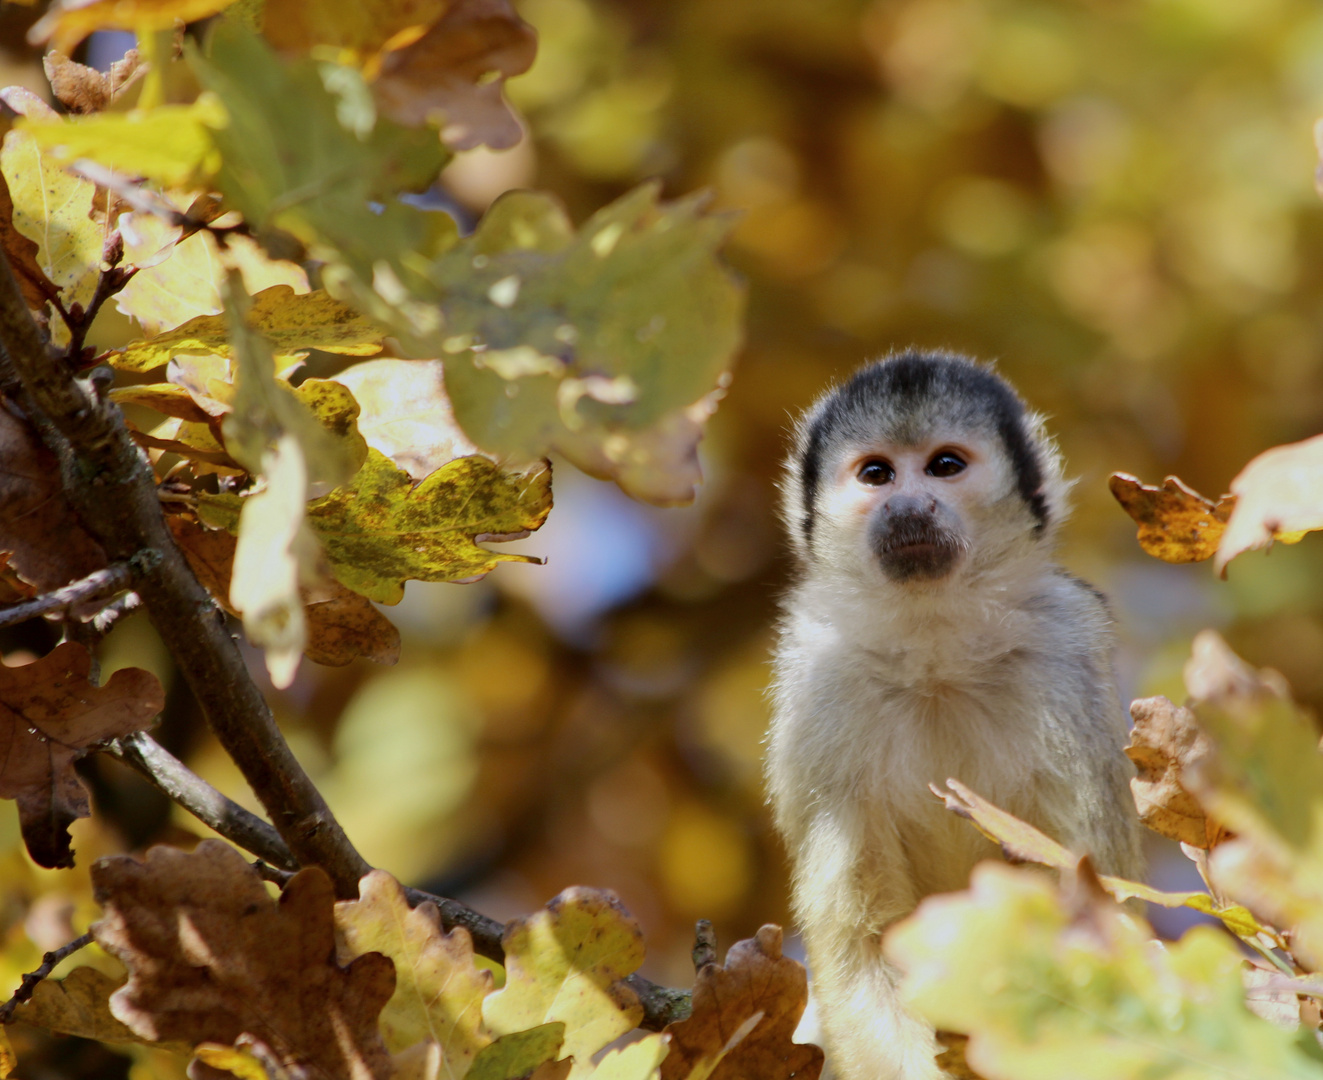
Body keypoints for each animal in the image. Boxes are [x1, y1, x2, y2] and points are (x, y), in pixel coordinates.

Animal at [766, 349, 1142, 1080]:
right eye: (876, 474)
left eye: (944, 465)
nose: (908, 505)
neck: (935, 652)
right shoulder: (821, 689)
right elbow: (863, 943)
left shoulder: (1065, 662)